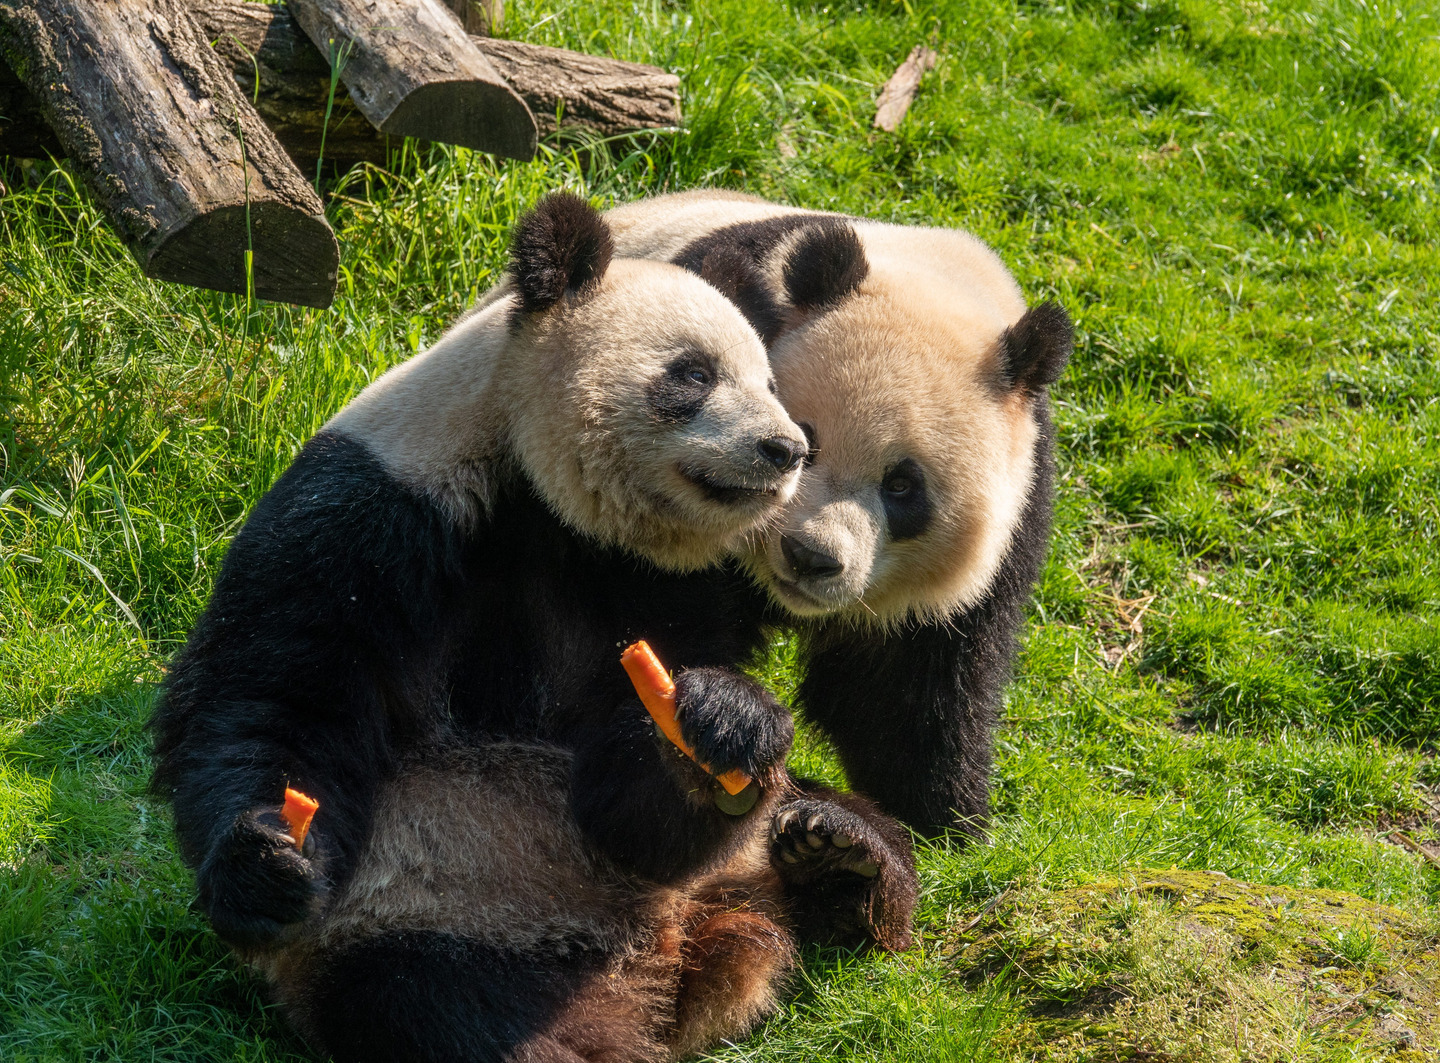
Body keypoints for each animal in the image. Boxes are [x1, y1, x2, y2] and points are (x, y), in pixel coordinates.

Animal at [151, 193, 919, 1063]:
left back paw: (844, 856)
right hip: (435, 912)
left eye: (770, 381)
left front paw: (719, 724)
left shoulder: (670, 584)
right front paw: (269, 862)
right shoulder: (376, 511)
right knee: (439, 1006)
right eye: (694, 374)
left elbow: (634, 801)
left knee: (837, 819)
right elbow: (273, 696)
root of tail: (677, 962)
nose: (783, 448)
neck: (546, 499)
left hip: (732, 868)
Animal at [601, 190, 1074, 837]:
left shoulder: (1013, 516)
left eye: (902, 486)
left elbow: (902, 701)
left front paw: (941, 821)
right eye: (805, 440)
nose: (810, 557)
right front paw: (730, 715)